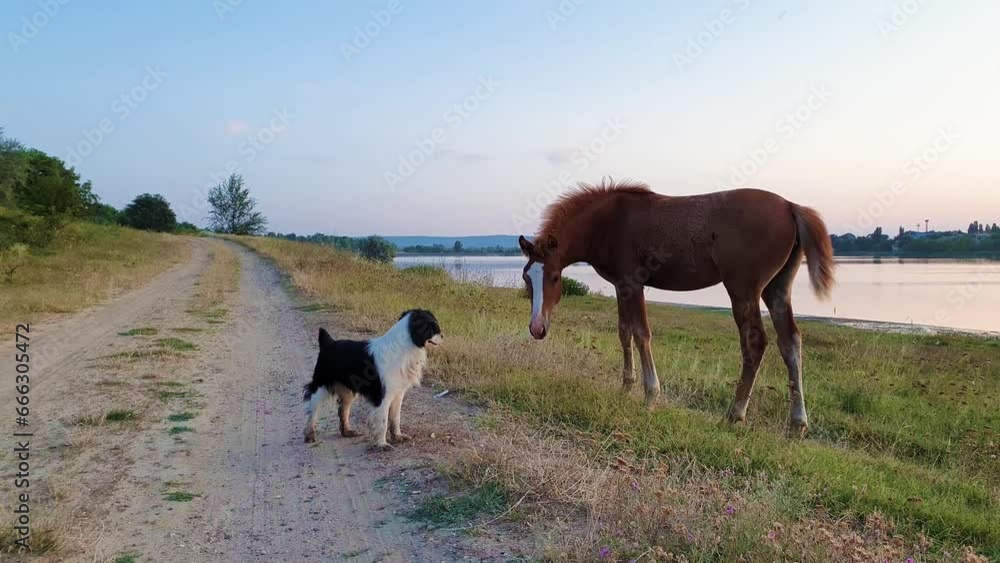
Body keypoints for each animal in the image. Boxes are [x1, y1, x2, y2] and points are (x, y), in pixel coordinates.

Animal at [518, 180, 834, 432]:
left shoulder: (633, 283)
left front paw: (650, 395)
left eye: (554, 277)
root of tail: (791, 206)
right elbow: (624, 332)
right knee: (790, 341)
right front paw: (625, 387)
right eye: (526, 277)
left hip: (743, 290)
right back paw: (797, 423)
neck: (606, 222)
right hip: (776, 288)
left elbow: (641, 334)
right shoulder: (621, 286)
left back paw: (734, 414)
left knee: (756, 342)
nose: (537, 328)